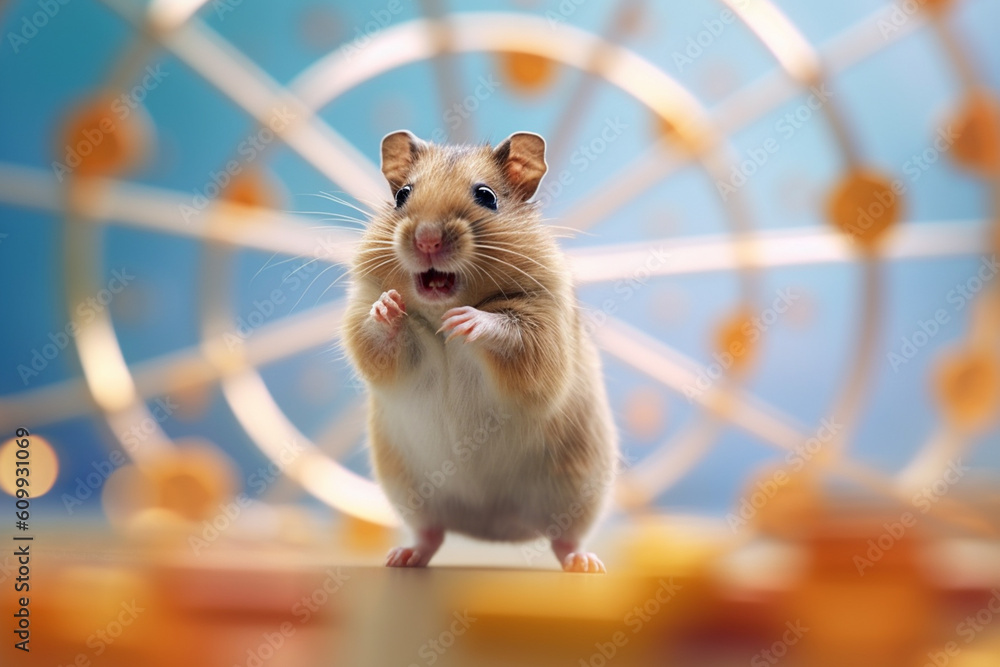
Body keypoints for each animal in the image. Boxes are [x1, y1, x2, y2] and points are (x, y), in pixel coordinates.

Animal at [341, 130, 618, 573]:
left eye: (486, 196)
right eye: (402, 194)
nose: (427, 239)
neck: (439, 307)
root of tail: (496, 531)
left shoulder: (543, 327)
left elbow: (508, 331)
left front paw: (464, 322)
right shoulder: (365, 320)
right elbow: (375, 335)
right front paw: (388, 308)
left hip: (579, 491)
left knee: (564, 539)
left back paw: (585, 564)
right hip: (410, 494)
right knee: (431, 533)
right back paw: (402, 558)